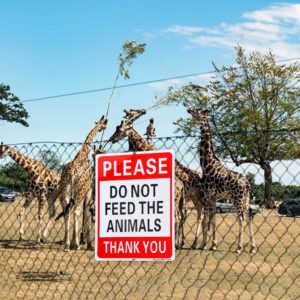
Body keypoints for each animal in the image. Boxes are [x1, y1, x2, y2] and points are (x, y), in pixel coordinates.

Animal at [55, 115, 108, 251]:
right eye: (103, 123)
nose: (104, 126)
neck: (83, 153)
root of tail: (72, 174)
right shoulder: (88, 190)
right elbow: (86, 213)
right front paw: (86, 243)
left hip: (64, 192)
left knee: (67, 212)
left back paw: (67, 244)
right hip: (79, 192)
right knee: (76, 211)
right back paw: (76, 244)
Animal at [108, 119, 211, 248]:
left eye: (121, 130)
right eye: (116, 128)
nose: (111, 139)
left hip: (199, 198)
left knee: (202, 217)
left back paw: (203, 244)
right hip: (195, 198)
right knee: (199, 216)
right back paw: (197, 244)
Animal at [188, 108, 255, 253]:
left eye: (197, 110)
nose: (188, 109)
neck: (207, 165)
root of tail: (247, 184)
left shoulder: (206, 196)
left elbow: (206, 219)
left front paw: (203, 245)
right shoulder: (213, 198)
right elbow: (213, 220)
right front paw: (213, 245)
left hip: (237, 198)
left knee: (241, 219)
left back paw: (239, 247)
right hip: (246, 199)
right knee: (248, 218)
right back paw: (252, 247)